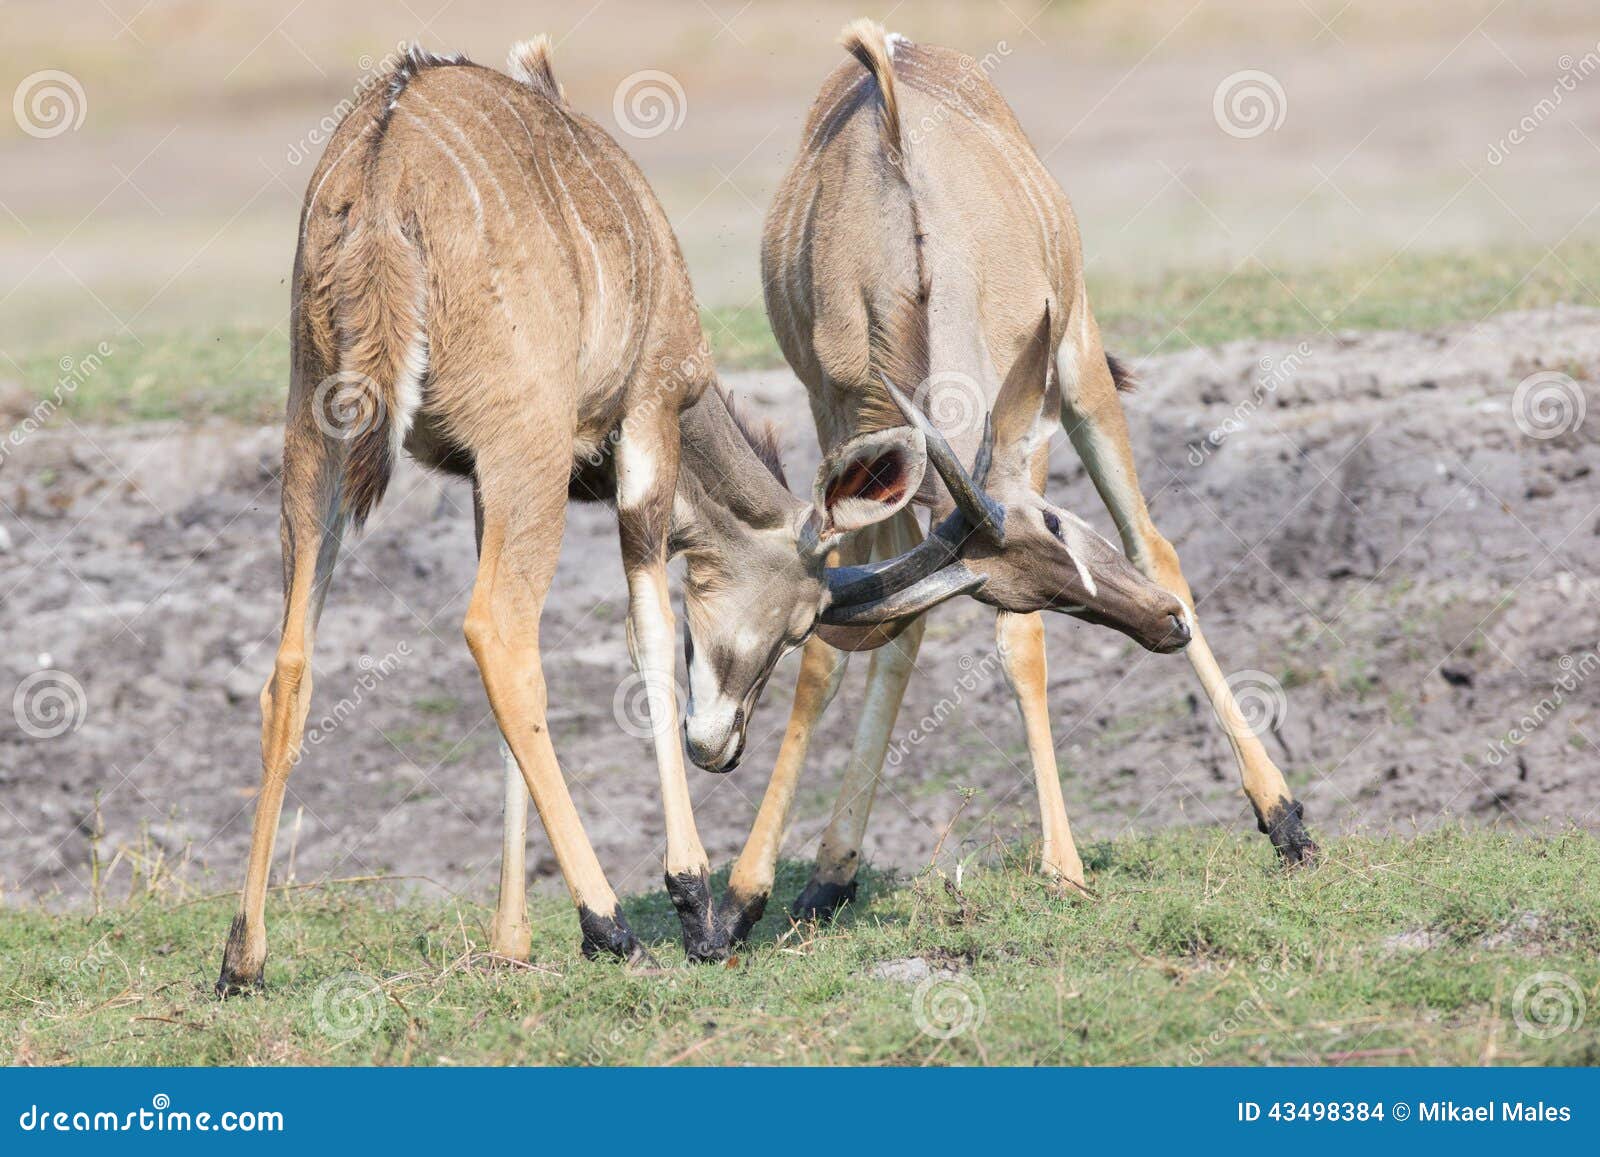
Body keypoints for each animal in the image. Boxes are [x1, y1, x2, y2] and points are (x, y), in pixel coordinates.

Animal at [215, 37, 1059, 992]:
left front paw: (512, 939)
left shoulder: (478, 478)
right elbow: (650, 632)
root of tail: (384, 160)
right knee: (496, 630)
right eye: (799, 622)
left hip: (318, 441)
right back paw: (611, 919)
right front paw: (691, 897)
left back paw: (243, 954)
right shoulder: (648, 411)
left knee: (293, 663)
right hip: (524, 449)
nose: (722, 746)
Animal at [710, 22, 1320, 941]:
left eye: (1061, 527)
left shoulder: (1024, 422)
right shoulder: (846, 423)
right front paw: (751, 894)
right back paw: (829, 872)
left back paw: (1282, 815)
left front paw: (1063, 865)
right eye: (1001, 588)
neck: (906, 235)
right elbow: (834, 653)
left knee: (1156, 545)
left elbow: (1020, 650)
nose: (1164, 627)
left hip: (1081, 364)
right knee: (908, 637)